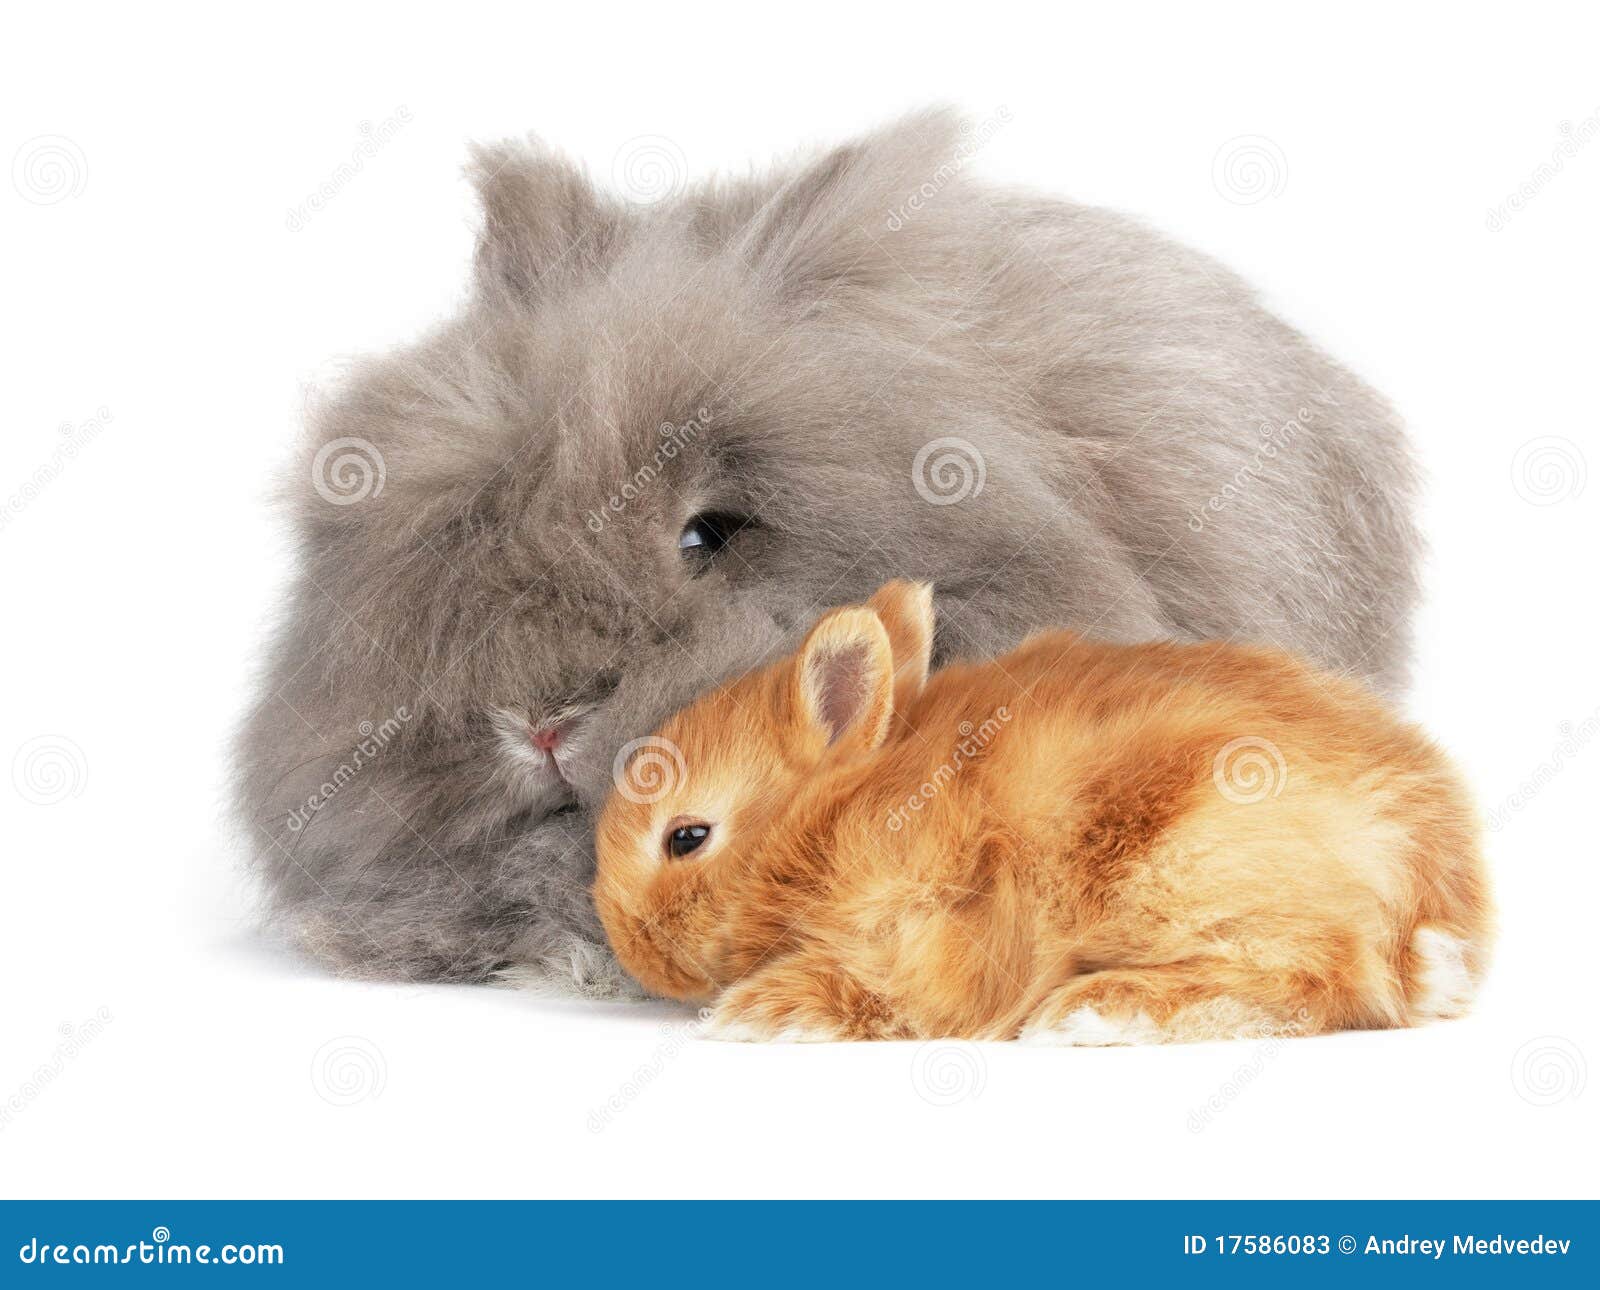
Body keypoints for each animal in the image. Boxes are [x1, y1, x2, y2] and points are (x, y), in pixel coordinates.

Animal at [593, 581, 1490, 1042]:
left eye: (687, 837)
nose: (628, 948)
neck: (832, 814)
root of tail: (1431, 909)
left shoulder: (937, 918)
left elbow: (894, 992)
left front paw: (762, 1012)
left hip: (1185, 869)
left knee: (1321, 977)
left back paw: (1100, 1010)